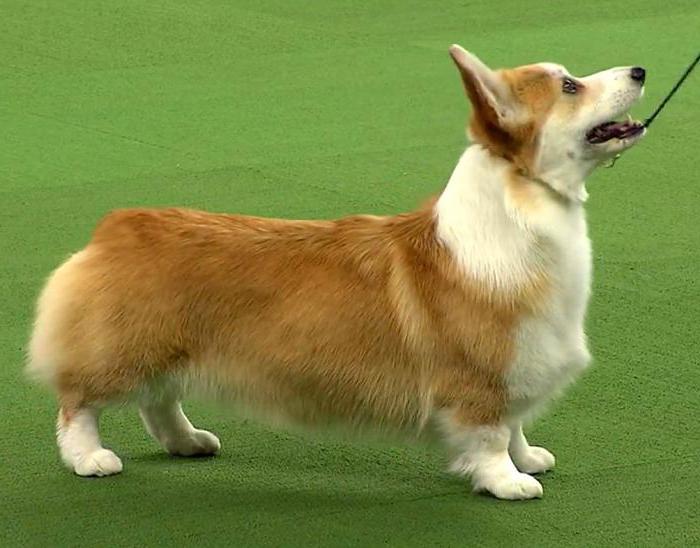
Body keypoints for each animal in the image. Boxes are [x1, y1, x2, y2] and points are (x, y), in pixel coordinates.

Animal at [30, 46, 648, 500]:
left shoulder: (522, 356)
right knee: (78, 402)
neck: (524, 211)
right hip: (125, 350)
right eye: (570, 87)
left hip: (172, 350)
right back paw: (89, 458)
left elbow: (516, 422)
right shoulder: (481, 373)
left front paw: (529, 459)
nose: (641, 69)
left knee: (158, 401)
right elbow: (492, 431)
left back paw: (188, 442)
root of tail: (115, 227)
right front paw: (507, 481)